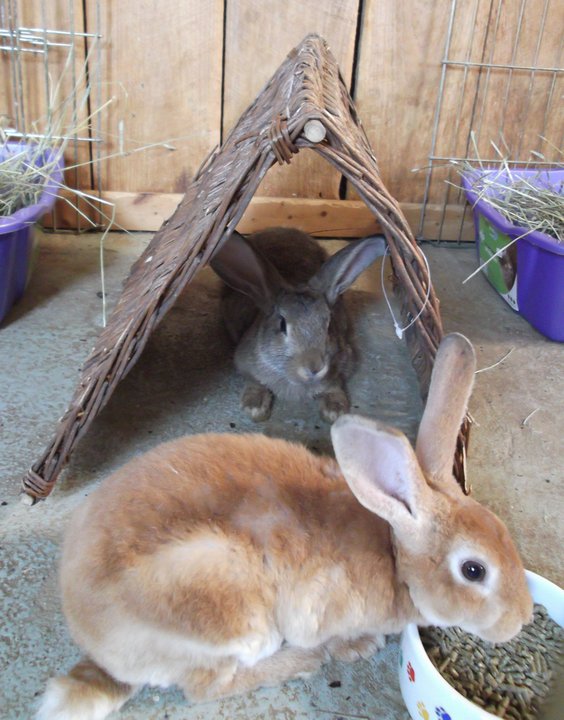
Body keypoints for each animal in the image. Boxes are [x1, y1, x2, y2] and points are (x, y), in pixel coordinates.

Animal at [37, 333, 533, 720]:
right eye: (474, 570)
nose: (521, 619)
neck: (394, 554)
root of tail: (102, 650)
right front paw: (357, 647)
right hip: (232, 614)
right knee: (208, 687)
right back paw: (302, 661)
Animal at [210, 227, 387, 422]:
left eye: (329, 324)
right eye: (282, 325)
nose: (314, 368)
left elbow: (335, 385)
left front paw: (334, 411)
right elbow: (255, 381)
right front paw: (255, 407)